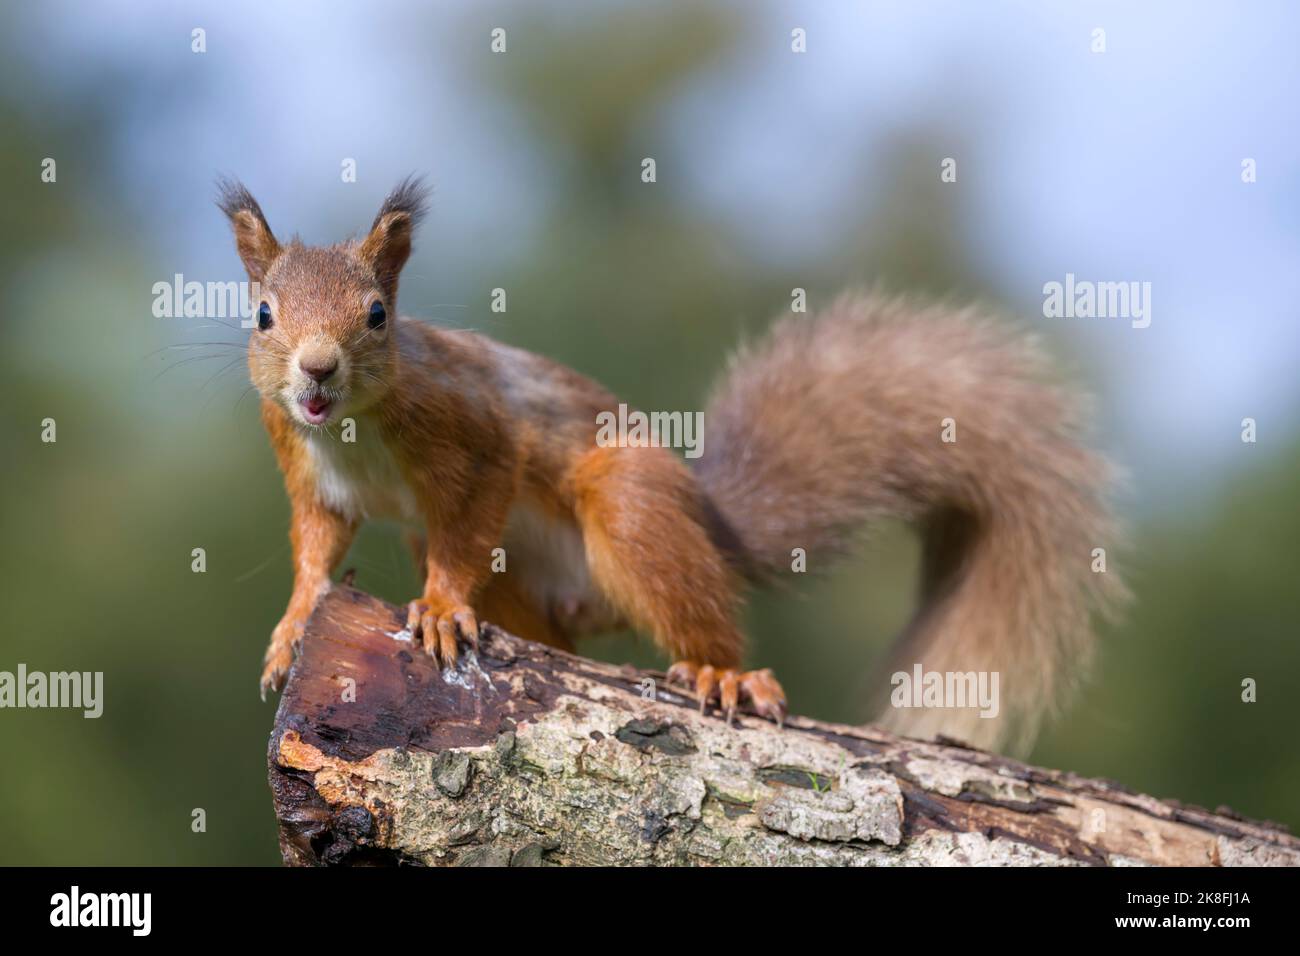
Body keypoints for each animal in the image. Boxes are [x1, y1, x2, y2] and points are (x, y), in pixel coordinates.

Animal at [219, 176, 1125, 754]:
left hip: (632, 506)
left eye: (378, 315)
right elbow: (317, 550)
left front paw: (441, 609)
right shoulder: (310, 474)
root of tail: (708, 517)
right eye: (262, 314)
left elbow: (471, 516)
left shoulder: (476, 433)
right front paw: (292, 629)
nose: (317, 369)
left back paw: (726, 673)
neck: (349, 428)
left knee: (693, 606)